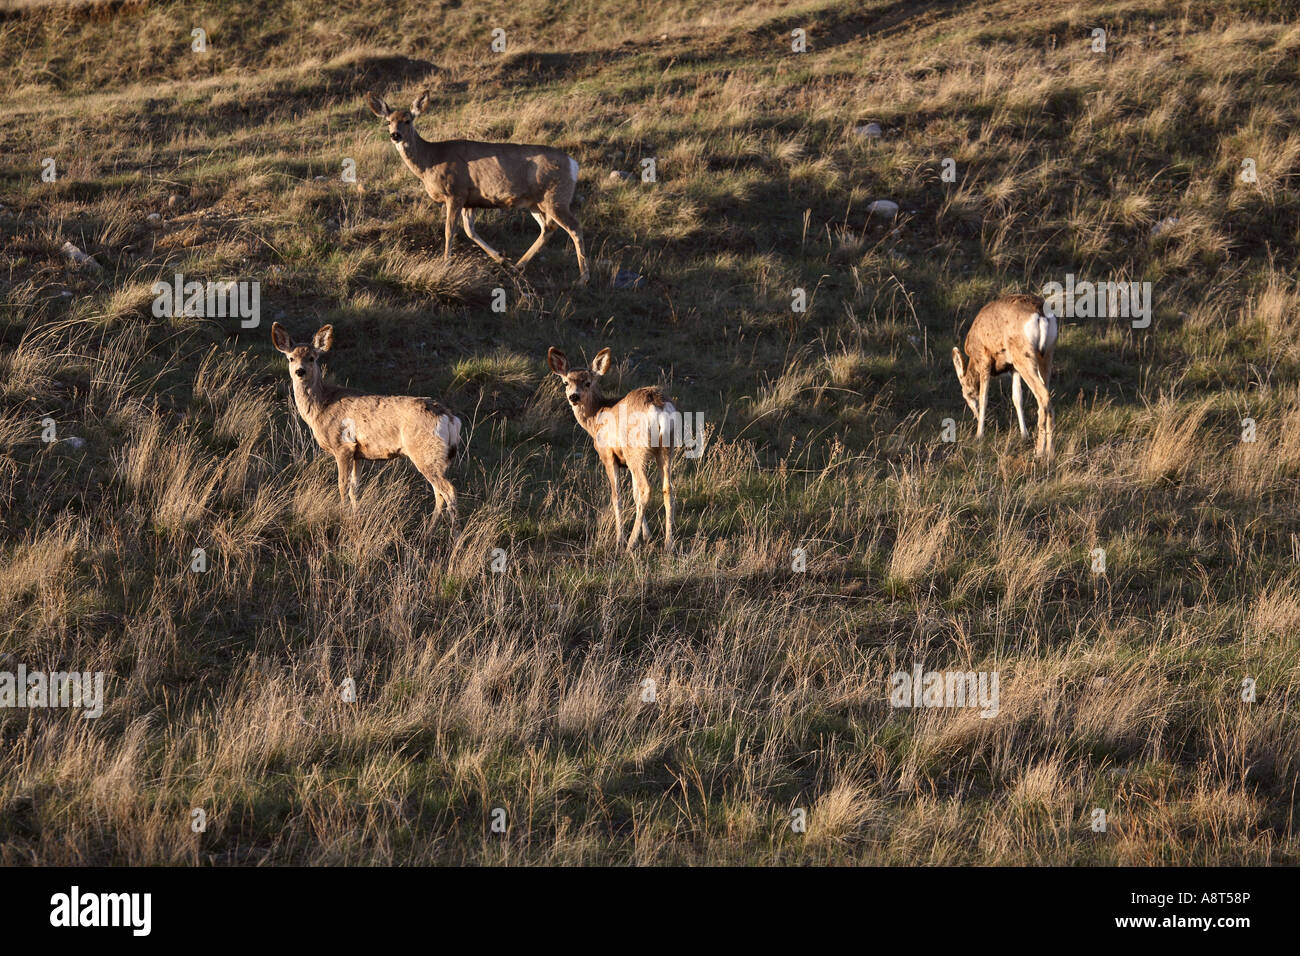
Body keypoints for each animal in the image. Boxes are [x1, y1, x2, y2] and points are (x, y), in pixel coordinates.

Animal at [271, 322, 461, 520]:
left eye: (311, 358)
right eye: (291, 358)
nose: (300, 371)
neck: (322, 407)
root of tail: (450, 418)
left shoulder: (343, 446)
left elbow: (343, 486)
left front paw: (344, 514)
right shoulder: (358, 453)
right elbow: (355, 489)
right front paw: (356, 515)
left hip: (425, 451)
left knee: (449, 490)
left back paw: (454, 529)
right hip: (436, 457)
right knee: (439, 492)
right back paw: (430, 526)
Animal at [365, 89, 589, 286]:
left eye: (408, 120)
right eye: (388, 121)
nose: (395, 135)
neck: (431, 160)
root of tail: (573, 164)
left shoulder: (455, 191)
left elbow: (450, 230)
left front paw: (446, 265)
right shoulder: (469, 199)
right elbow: (469, 230)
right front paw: (501, 258)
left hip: (556, 197)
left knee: (574, 227)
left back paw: (582, 278)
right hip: (536, 201)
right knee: (548, 227)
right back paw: (518, 266)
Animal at [547, 347, 677, 550]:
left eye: (587, 382)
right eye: (566, 382)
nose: (573, 396)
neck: (596, 417)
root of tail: (658, 406)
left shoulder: (608, 455)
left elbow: (618, 496)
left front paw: (620, 539)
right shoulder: (626, 462)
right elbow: (634, 494)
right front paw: (647, 536)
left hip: (635, 450)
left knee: (646, 488)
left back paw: (630, 544)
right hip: (666, 448)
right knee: (667, 489)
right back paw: (668, 543)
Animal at [951, 294, 1058, 457]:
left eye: (967, 394)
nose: (975, 415)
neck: (973, 357)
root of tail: (1041, 315)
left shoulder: (985, 360)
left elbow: (984, 398)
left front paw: (979, 435)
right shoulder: (1013, 368)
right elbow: (1017, 398)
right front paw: (1024, 434)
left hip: (1023, 355)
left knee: (1043, 395)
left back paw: (1039, 451)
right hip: (1046, 354)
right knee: (1048, 395)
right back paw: (1050, 451)